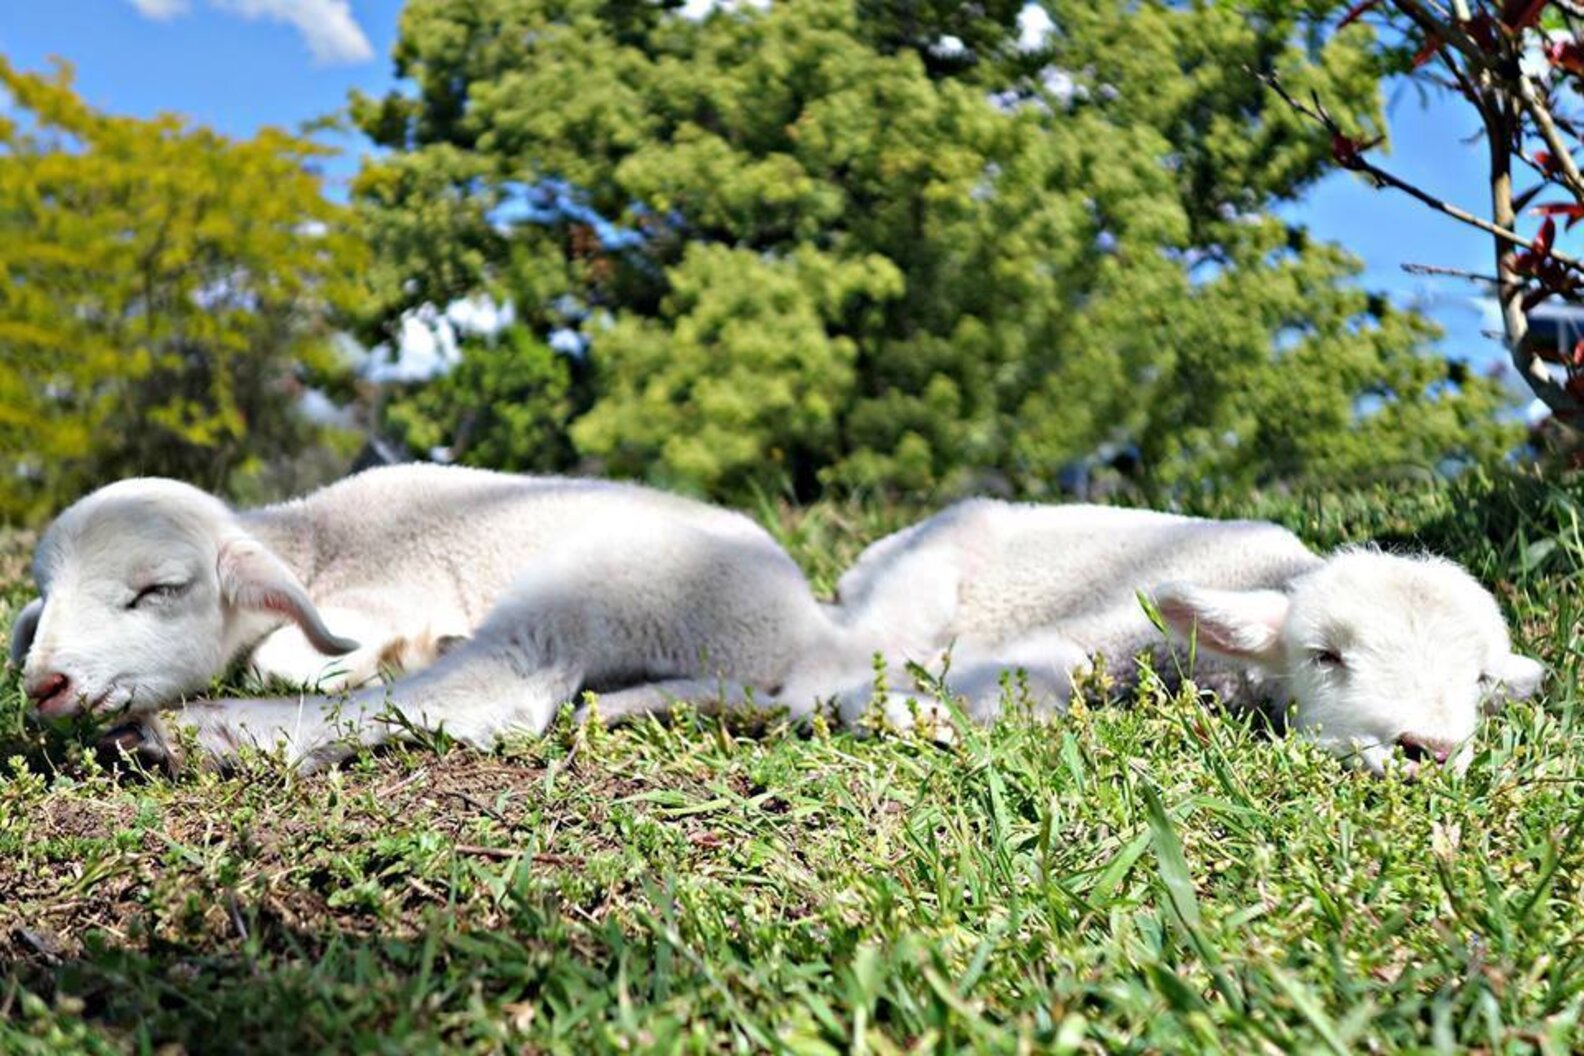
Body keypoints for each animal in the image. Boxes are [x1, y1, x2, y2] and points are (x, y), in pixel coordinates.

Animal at [8, 464, 848, 771]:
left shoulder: (389, 588)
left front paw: (387, 653)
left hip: (609, 574)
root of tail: (806, 633)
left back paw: (194, 735)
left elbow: (280, 654)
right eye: (45, 595)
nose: (44, 686)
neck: (318, 541)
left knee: (495, 686)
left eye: (157, 590)